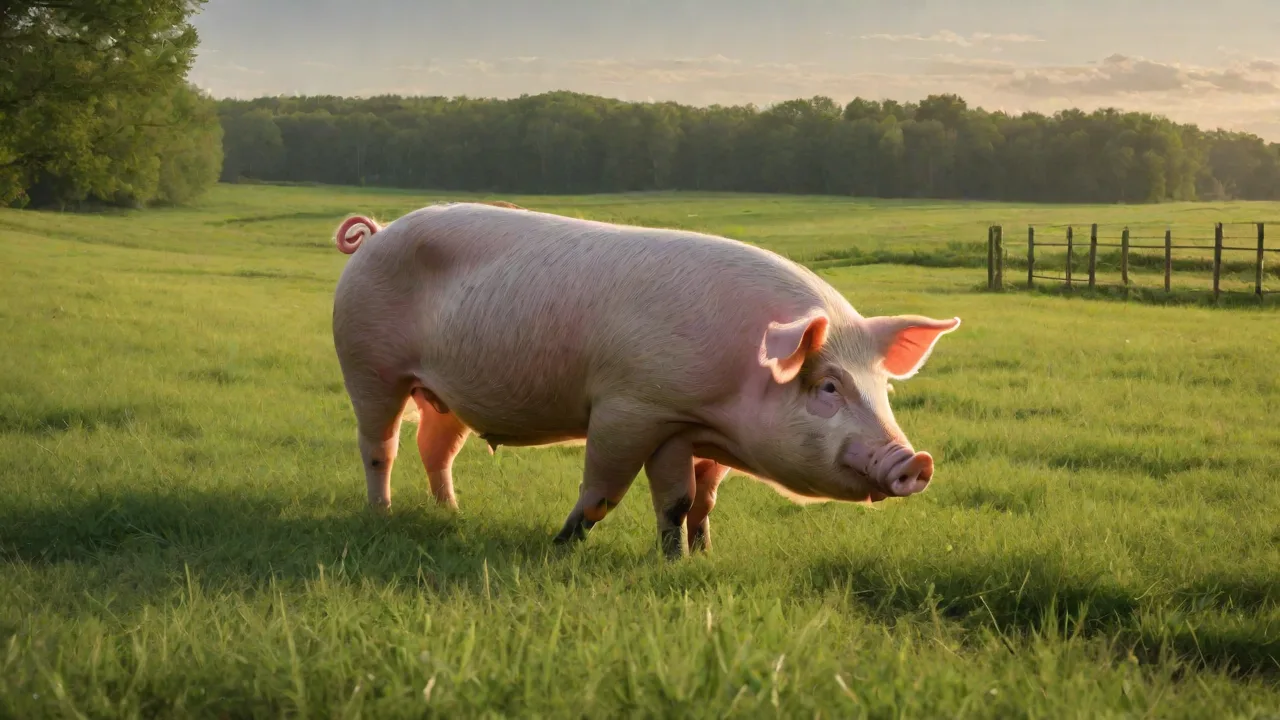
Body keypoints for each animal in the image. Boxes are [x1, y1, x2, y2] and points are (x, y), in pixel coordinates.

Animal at [330, 202, 960, 558]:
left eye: (883, 389)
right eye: (828, 386)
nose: (916, 461)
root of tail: (377, 232)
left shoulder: (690, 432)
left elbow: (695, 499)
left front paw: (692, 557)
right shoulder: (632, 407)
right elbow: (609, 490)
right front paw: (562, 546)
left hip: (445, 397)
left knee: (434, 448)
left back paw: (452, 515)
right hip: (367, 365)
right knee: (379, 446)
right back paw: (382, 514)